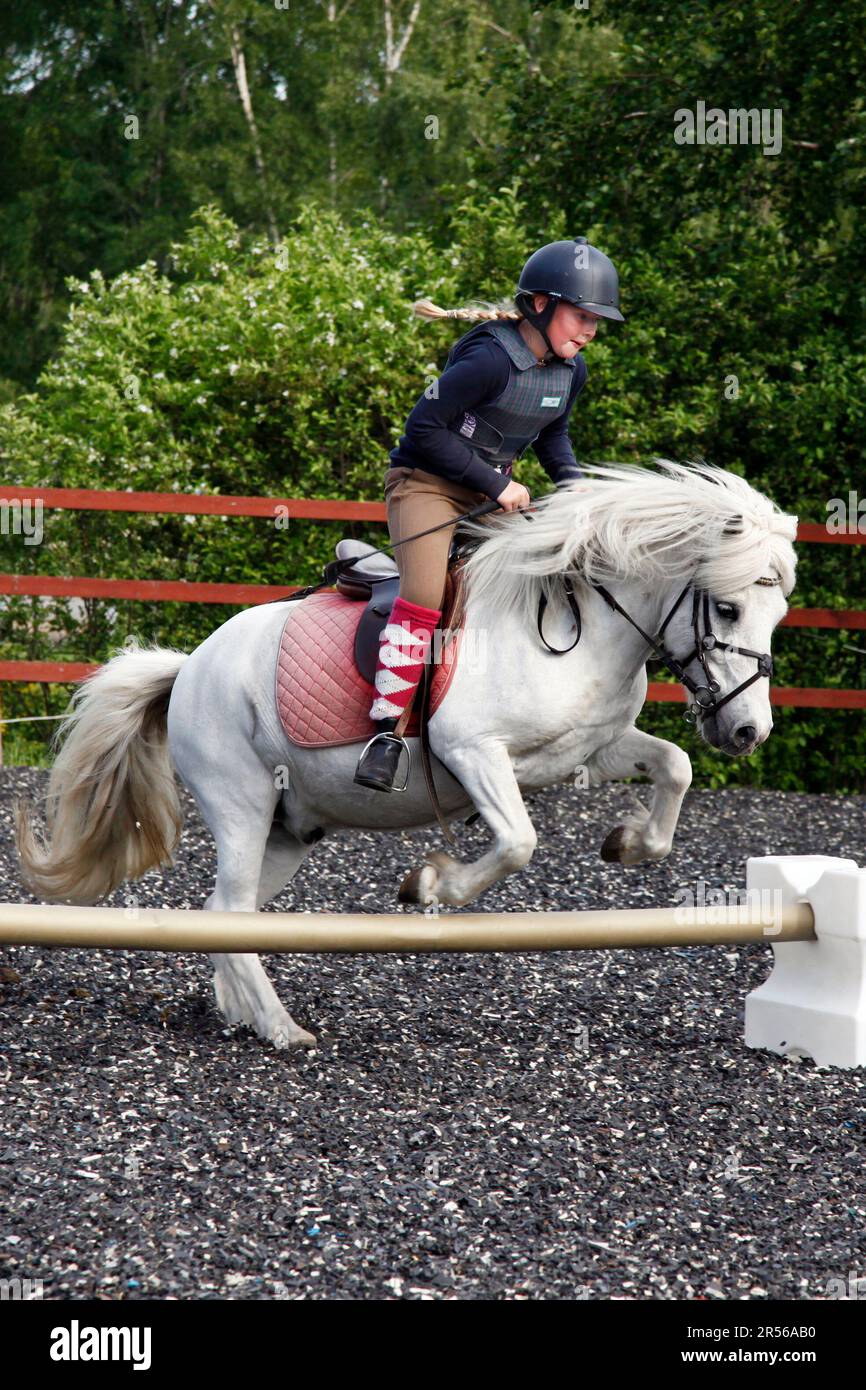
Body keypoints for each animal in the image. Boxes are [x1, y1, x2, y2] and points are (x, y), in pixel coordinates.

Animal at [14, 461, 798, 1049]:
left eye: (777, 614)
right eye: (728, 608)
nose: (748, 732)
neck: (582, 623)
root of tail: (188, 668)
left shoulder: (590, 749)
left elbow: (675, 768)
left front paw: (630, 843)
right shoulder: (472, 750)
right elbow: (517, 841)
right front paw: (431, 886)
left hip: (288, 829)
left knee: (223, 912)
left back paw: (242, 1011)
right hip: (241, 802)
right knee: (231, 905)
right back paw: (282, 1028)